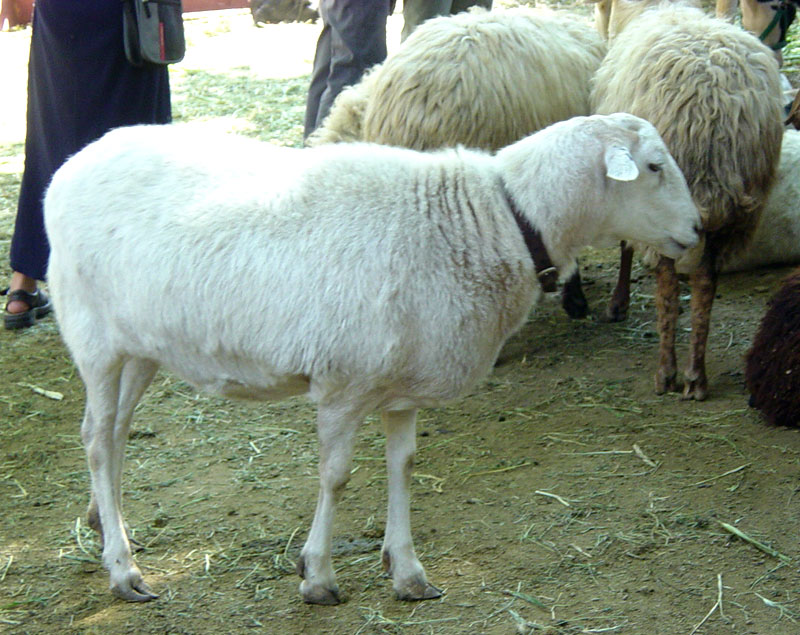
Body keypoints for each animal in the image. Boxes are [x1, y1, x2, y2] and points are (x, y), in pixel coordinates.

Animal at [44, 113, 700, 605]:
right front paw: (317, 575)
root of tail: (71, 166)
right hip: (93, 337)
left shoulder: (403, 385)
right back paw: (123, 569)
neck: (498, 220)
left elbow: (402, 467)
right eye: (654, 166)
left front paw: (407, 571)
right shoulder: (345, 383)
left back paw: (108, 526)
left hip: (139, 347)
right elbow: (336, 476)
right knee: (97, 438)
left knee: (117, 434)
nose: (698, 229)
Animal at [590, 0, 784, 400]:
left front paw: (619, 303)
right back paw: (696, 375)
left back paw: (667, 372)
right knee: (707, 281)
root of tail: (709, 112)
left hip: (663, 196)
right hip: (740, 206)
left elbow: (625, 246)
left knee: (666, 283)